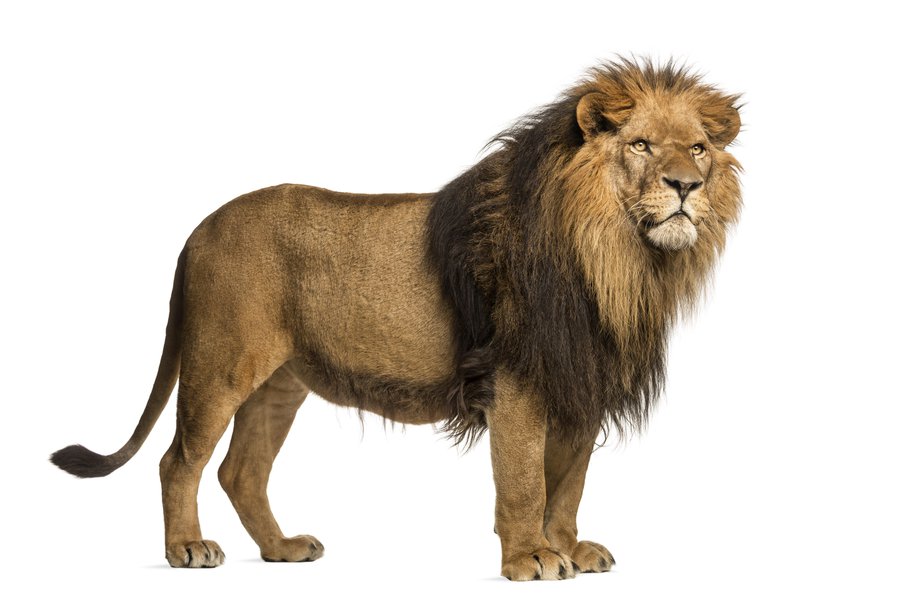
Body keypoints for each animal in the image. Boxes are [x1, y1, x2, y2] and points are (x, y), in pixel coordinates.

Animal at [51, 59, 742, 581]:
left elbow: (567, 482)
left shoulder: (581, 380)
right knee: (179, 461)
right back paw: (186, 549)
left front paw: (567, 548)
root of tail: (199, 229)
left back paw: (281, 550)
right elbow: (524, 479)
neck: (619, 260)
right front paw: (532, 559)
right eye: (641, 145)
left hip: (281, 383)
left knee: (239, 470)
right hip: (219, 363)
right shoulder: (516, 380)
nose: (685, 185)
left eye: (700, 148)